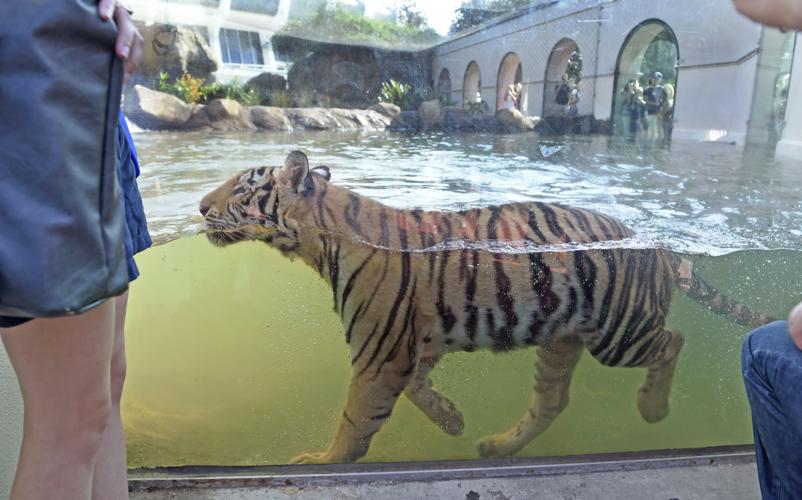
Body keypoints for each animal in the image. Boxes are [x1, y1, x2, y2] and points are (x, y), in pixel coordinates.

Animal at [200, 150, 772, 464]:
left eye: (244, 187)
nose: (200, 208)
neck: (322, 243)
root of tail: (655, 244)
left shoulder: (379, 352)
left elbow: (356, 417)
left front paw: (322, 460)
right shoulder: (413, 342)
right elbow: (416, 388)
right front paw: (452, 420)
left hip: (619, 334)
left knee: (673, 340)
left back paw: (653, 409)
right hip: (562, 337)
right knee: (552, 400)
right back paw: (493, 447)